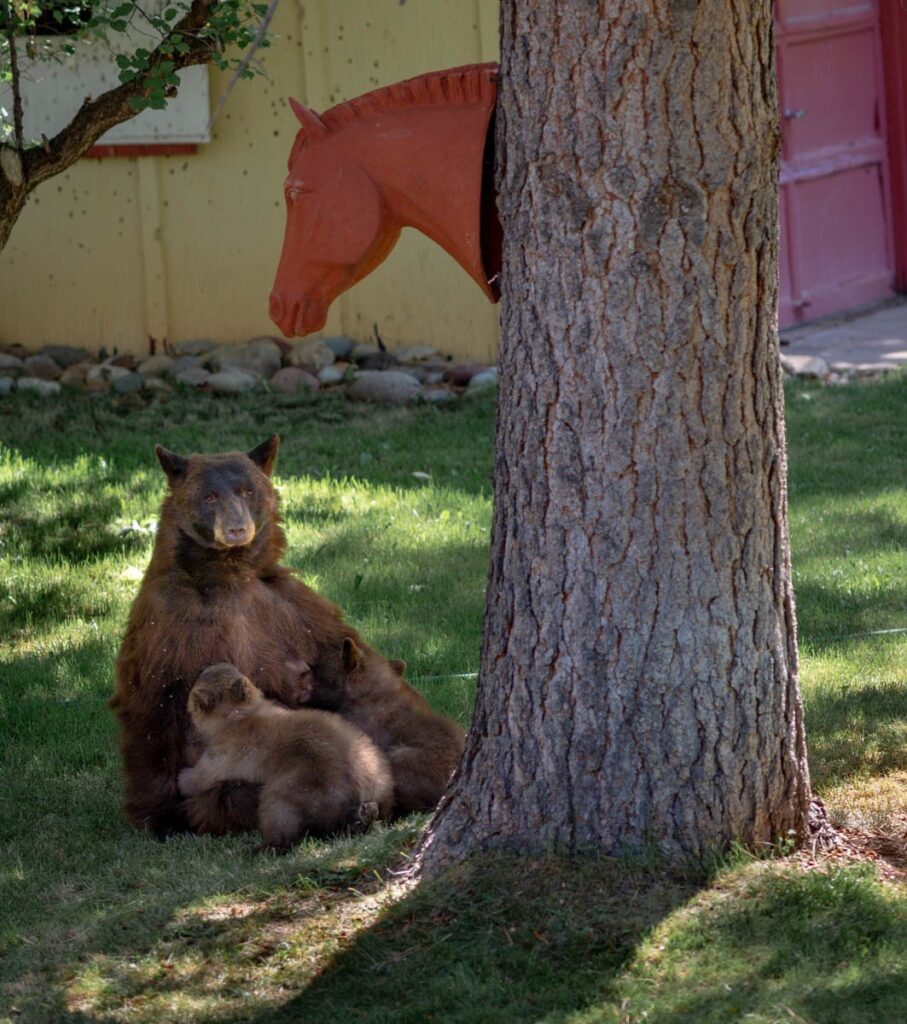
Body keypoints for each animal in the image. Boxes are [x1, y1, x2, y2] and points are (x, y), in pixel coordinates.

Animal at [177, 664, 393, 848]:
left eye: (201, 676)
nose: (207, 665)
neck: (235, 716)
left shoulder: (225, 751)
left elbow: (203, 776)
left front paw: (183, 777)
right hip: (372, 762)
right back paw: (364, 814)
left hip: (302, 781)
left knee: (279, 810)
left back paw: (262, 847)